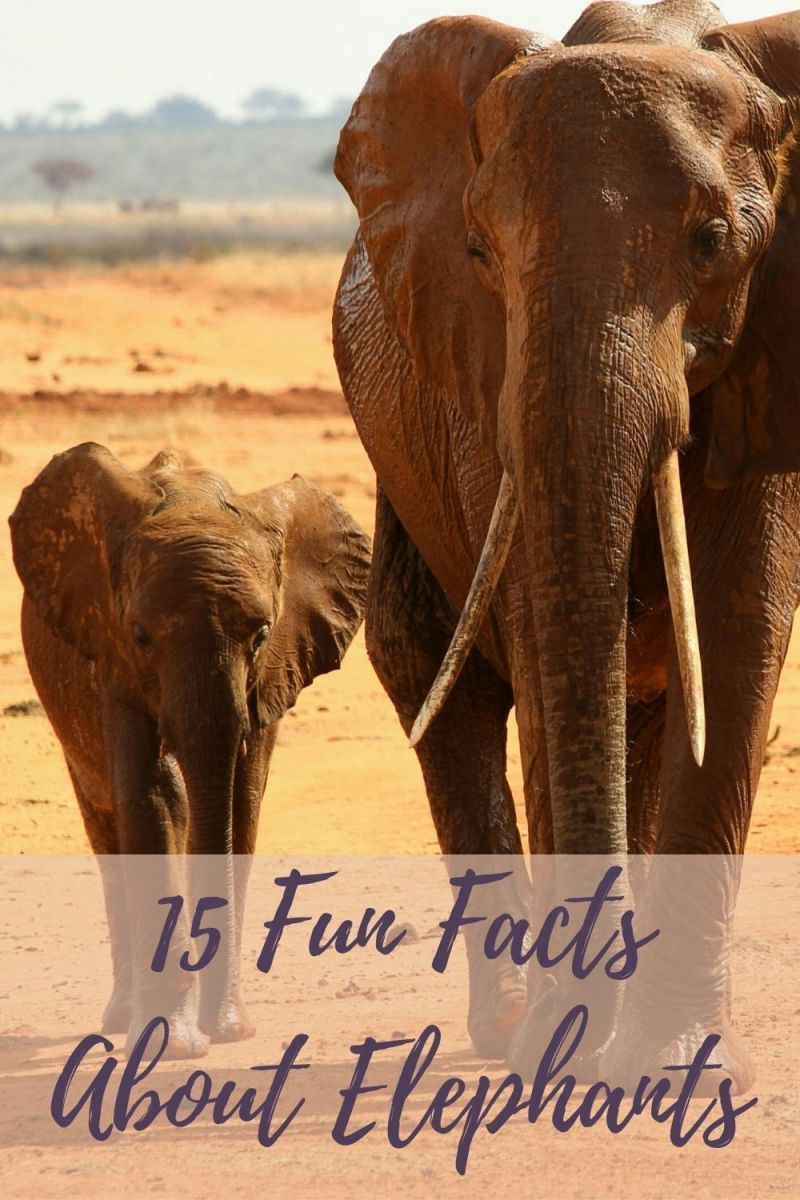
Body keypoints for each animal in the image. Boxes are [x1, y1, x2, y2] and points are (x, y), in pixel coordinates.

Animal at [9, 443, 370, 1056]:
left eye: (261, 633)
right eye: (139, 636)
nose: (223, 1030)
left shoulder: (275, 668)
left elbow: (240, 805)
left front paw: (227, 1028)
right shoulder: (110, 659)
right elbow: (153, 797)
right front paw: (172, 1043)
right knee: (109, 829)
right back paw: (123, 1016)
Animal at [332, 0, 800, 1086]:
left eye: (713, 239)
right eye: (477, 250)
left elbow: (735, 635)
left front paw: (673, 1064)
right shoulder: (480, 380)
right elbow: (544, 645)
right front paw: (575, 1047)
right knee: (433, 667)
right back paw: (513, 1026)